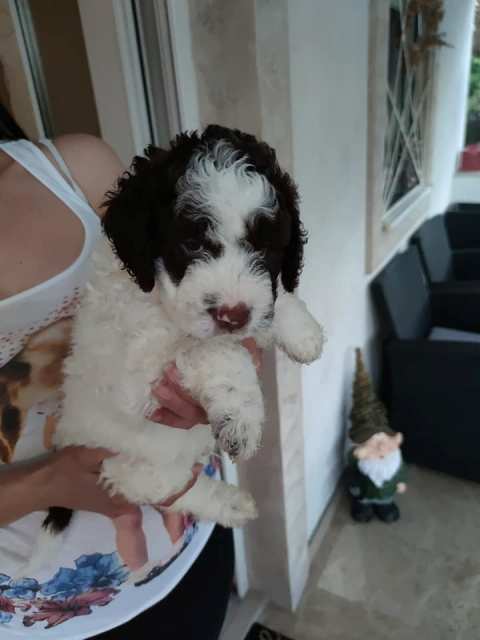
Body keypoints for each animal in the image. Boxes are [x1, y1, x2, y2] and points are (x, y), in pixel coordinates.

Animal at [40, 127, 322, 568]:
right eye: (191, 245)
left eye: (265, 247)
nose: (233, 315)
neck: (158, 295)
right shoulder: (137, 375)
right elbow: (218, 350)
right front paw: (242, 416)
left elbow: (273, 300)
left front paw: (302, 331)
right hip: (134, 468)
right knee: (175, 493)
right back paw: (231, 503)